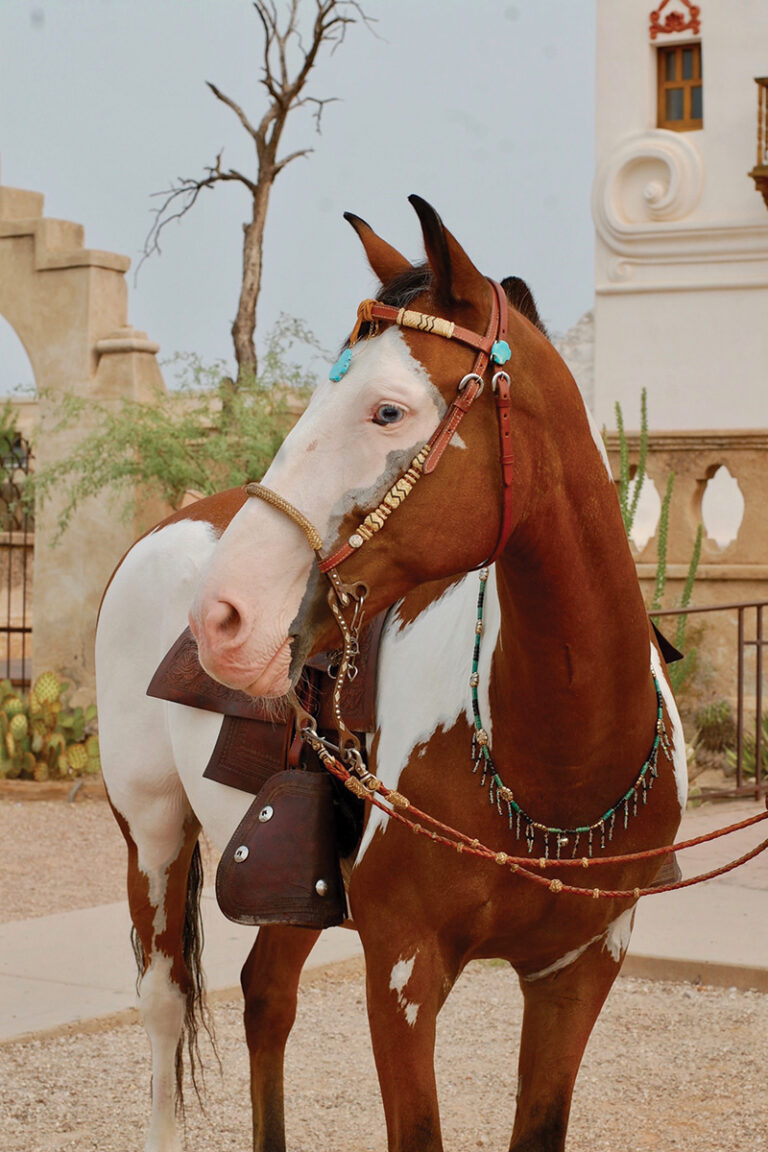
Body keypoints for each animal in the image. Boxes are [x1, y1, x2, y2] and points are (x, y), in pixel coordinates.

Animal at [96, 195, 687, 1152]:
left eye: (387, 412)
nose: (223, 617)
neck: (556, 761)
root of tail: (167, 530)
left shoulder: (580, 968)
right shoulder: (405, 969)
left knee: (267, 995)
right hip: (150, 833)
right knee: (163, 1006)